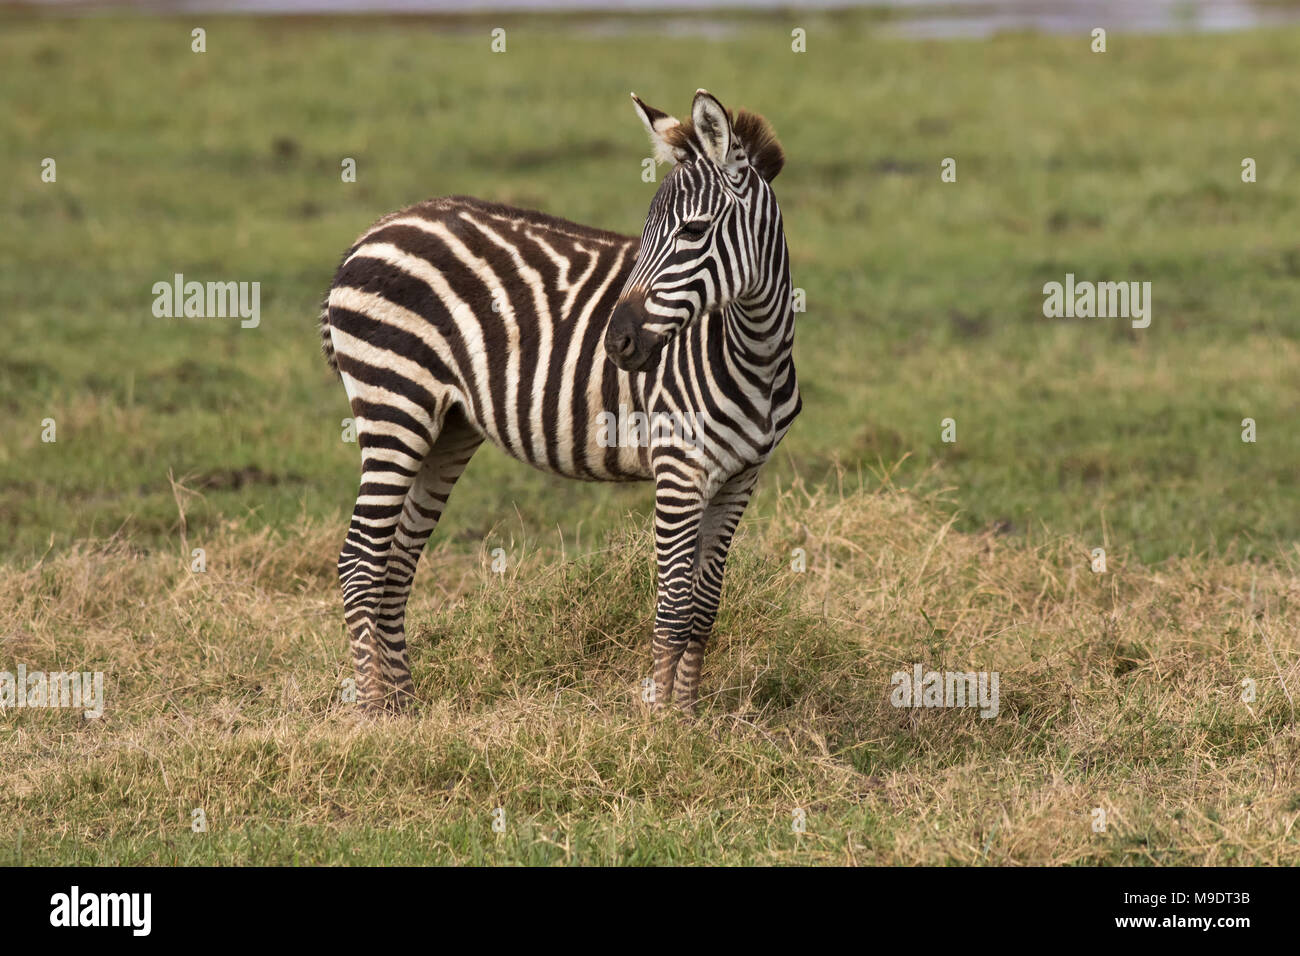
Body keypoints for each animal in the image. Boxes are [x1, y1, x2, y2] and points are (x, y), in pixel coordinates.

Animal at [320, 89, 799, 715]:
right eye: (646, 233)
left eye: (693, 231)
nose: (618, 343)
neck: (755, 352)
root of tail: (370, 233)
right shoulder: (679, 469)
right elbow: (673, 608)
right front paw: (660, 723)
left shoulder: (742, 477)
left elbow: (703, 609)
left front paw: (689, 717)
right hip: (395, 405)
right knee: (360, 562)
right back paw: (375, 714)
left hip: (446, 427)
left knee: (396, 565)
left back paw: (407, 708)